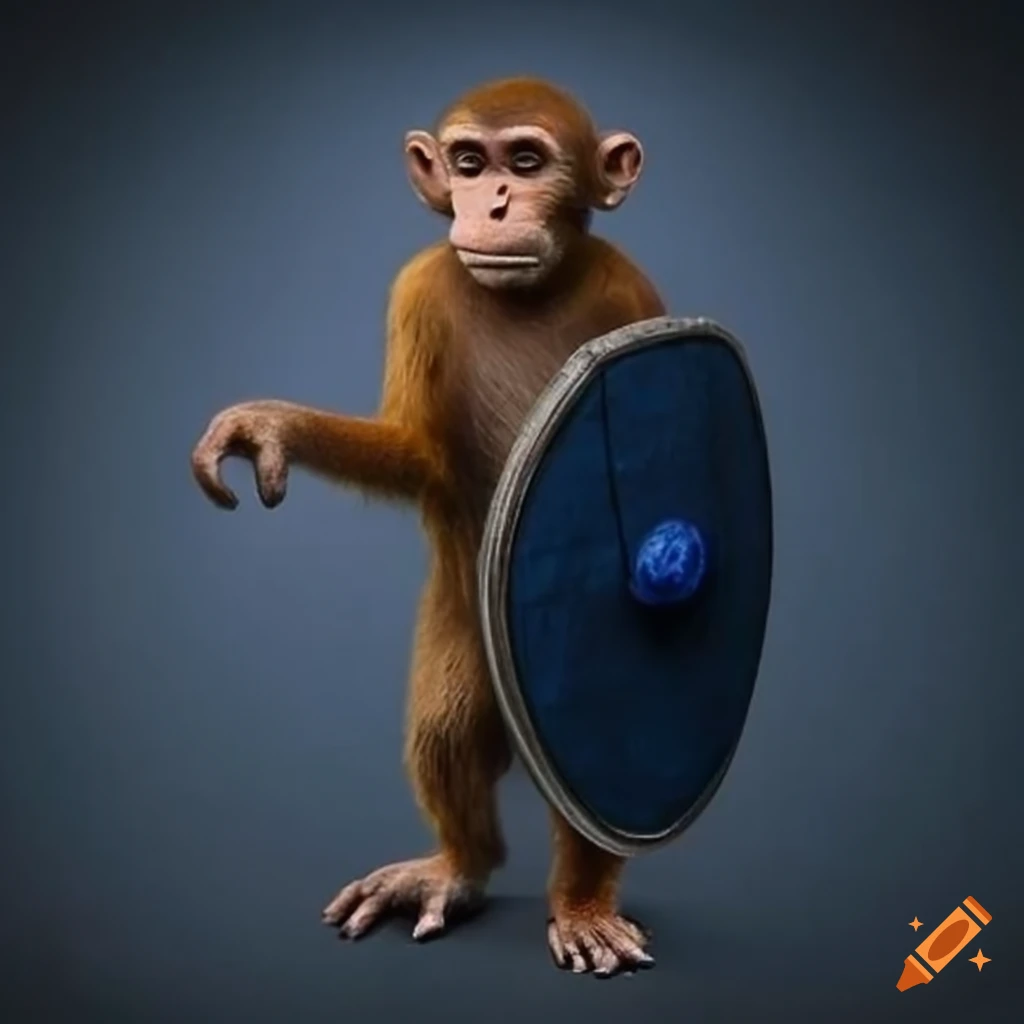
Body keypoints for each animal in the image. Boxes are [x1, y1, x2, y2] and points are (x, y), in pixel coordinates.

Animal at [191, 77, 666, 976]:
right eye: (469, 163)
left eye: (528, 161)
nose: (495, 201)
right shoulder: (417, 288)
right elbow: (421, 455)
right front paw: (272, 428)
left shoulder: (633, 299)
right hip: (463, 627)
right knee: (450, 729)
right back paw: (457, 866)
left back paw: (581, 900)